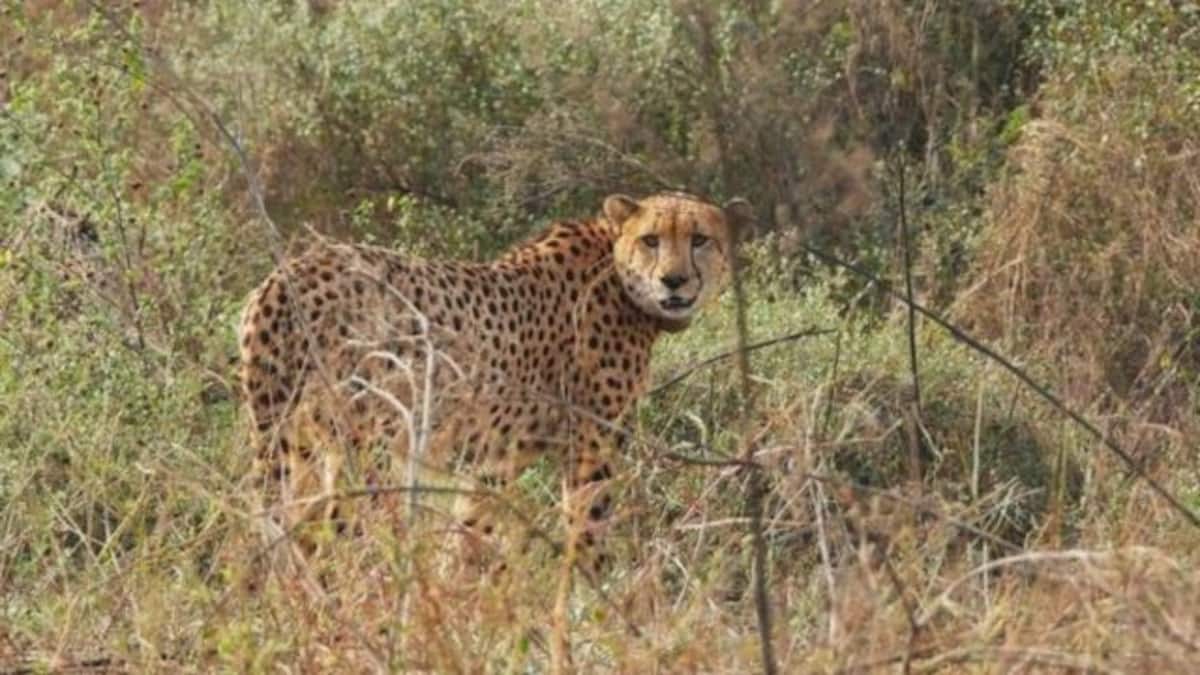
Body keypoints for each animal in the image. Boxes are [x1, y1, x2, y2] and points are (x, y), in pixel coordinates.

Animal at [238, 191, 748, 571]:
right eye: (651, 240)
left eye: (700, 239)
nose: (674, 281)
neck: (619, 275)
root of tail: (284, 276)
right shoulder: (590, 445)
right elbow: (588, 530)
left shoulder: (497, 456)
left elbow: (471, 532)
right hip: (365, 448)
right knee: (333, 535)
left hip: (296, 444)